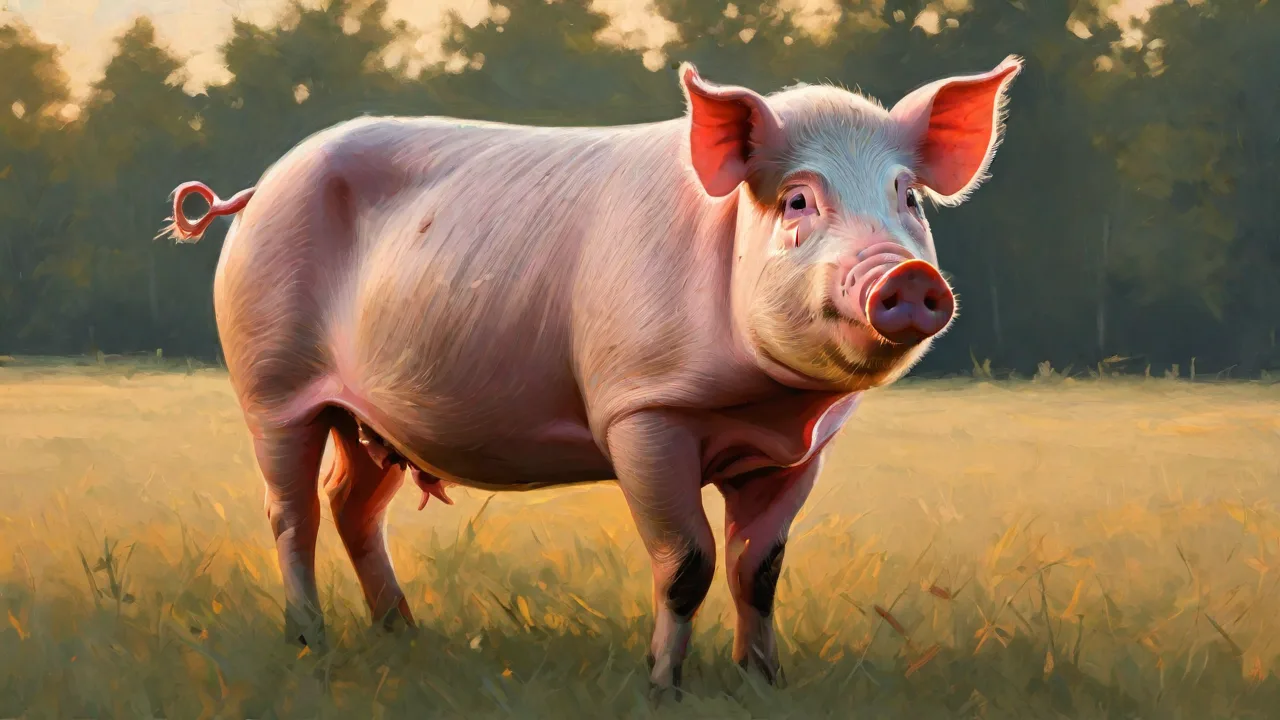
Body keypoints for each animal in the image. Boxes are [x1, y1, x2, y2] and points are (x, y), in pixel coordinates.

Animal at [163, 56, 1021, 694]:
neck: (764, 404)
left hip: (374, 418)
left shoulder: (802, 450)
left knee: (351, 507)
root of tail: (257, 189)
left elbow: (760, 569)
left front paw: (766, 683)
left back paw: (403, 634)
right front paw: (663, 689)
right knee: (292, 512)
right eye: (799, 201)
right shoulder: (639, 412)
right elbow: (688, 562)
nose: (906, 276)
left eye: (907, 197)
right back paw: (310, 643)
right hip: (271, 387)